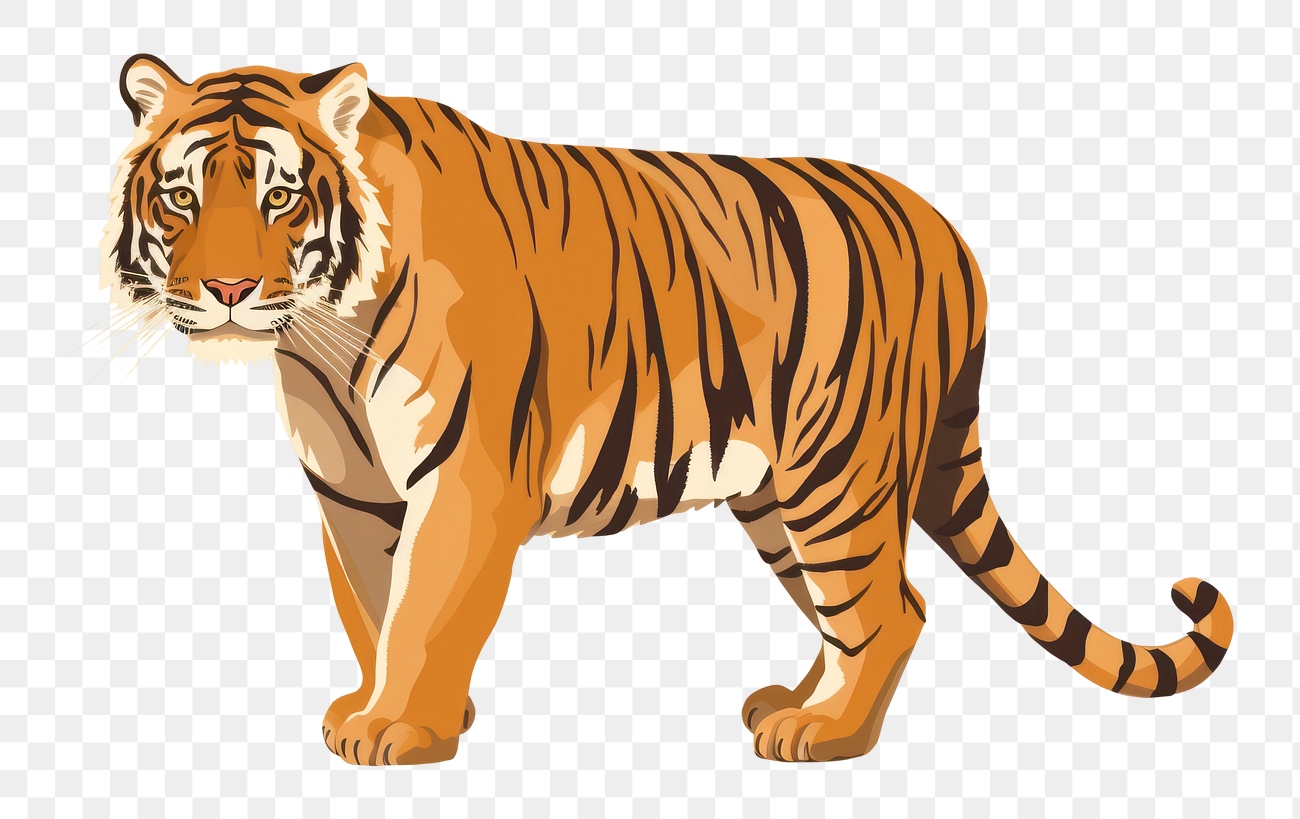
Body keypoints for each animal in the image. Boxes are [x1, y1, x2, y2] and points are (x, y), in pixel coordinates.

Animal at [101, 54, 1234, 766]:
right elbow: (374, 609)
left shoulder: (466, 482)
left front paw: (400, 733)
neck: (321, 333)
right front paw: (398, 709)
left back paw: (827, 737)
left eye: (281, 196)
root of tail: (952, 236)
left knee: (890, 608)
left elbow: (425, 608)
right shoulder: (354, 494)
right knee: (857, 607)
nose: (231, 291)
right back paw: (796, 704)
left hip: (839, 470)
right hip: (780, 498)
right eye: (183, 196)